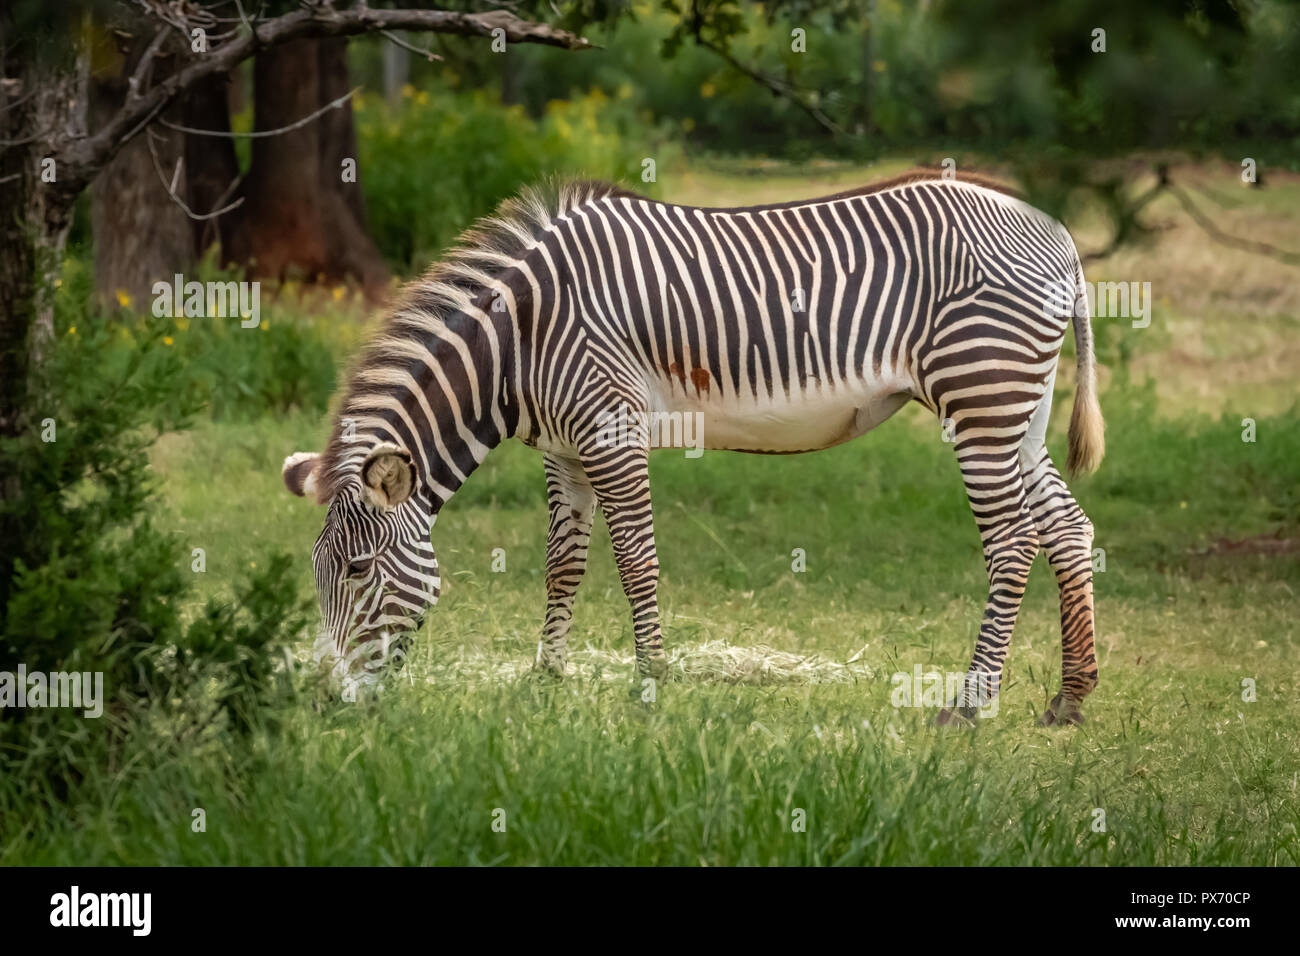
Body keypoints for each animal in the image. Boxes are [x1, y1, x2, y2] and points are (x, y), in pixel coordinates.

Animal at [282, 170, 1103, 725]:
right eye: (316, 572)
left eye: (357, 569)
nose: (326, 702)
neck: (521, 338)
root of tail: (1057, 233)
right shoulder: (564, 449)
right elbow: (563, 564)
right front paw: (547, 678)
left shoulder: (609, 429)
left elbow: (635, 560)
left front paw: (651, 683)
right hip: (1019, 408)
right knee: (1067, 527)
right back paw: (1070, 698)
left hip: (981, 396)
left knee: (1012, 543)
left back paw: (969, 705)